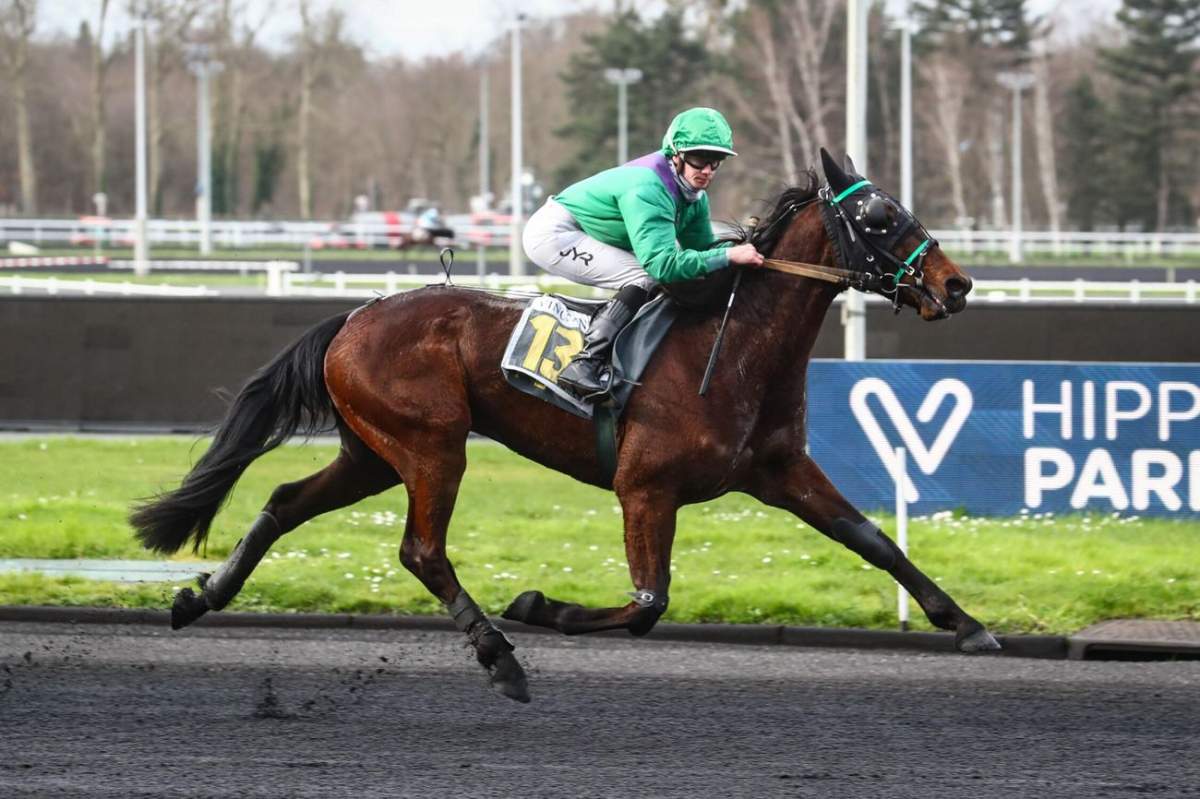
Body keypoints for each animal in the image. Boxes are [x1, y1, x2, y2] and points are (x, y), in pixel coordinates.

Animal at [130, 149, 995, 704]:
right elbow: (647, 602)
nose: (957, 284)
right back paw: (500, 656)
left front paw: (969, 625)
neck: (733, 345)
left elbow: (875, 540)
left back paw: (200, 597)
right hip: (431, 445)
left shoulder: (781, 472)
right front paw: (539, 605)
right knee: (421, 549)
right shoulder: (645, 488)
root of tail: (357, 315)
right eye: (879, 216)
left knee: (282, 500)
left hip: (373, 451)